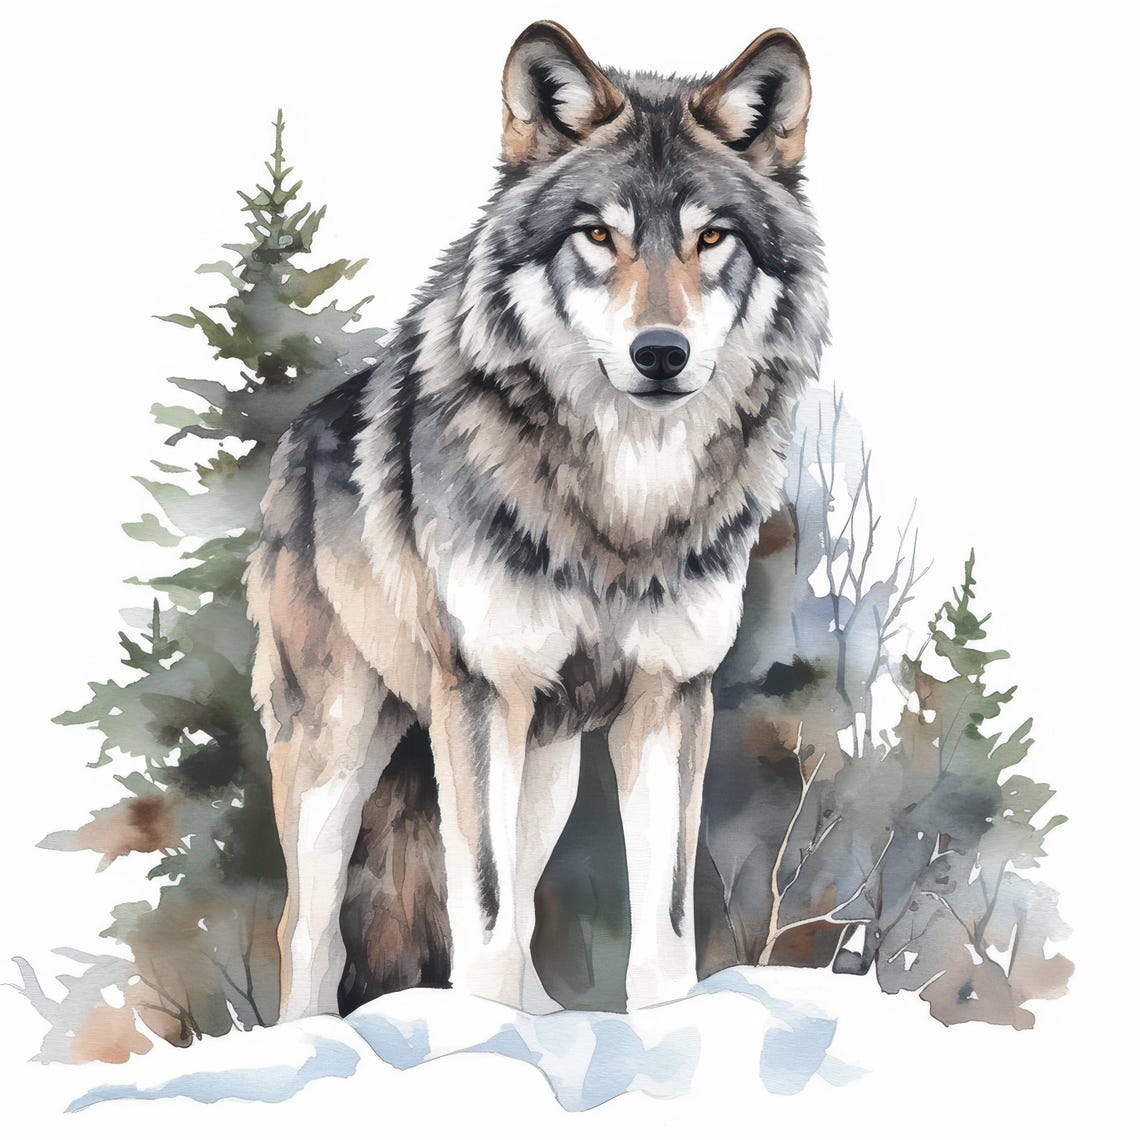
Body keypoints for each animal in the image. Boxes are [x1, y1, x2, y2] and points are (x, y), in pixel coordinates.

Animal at [246, 20, 827, 1020]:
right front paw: (479, 1039)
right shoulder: (481, 694)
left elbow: (662, 913)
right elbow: (475, 904)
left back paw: (545, 1020)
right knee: (310, 933)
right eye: (598, 234)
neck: (623, 508)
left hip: (549, 758)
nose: (661, 353)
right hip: (337, 747)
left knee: (521, 904)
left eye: (711, 237)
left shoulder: (671, 697)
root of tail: (300, 434)